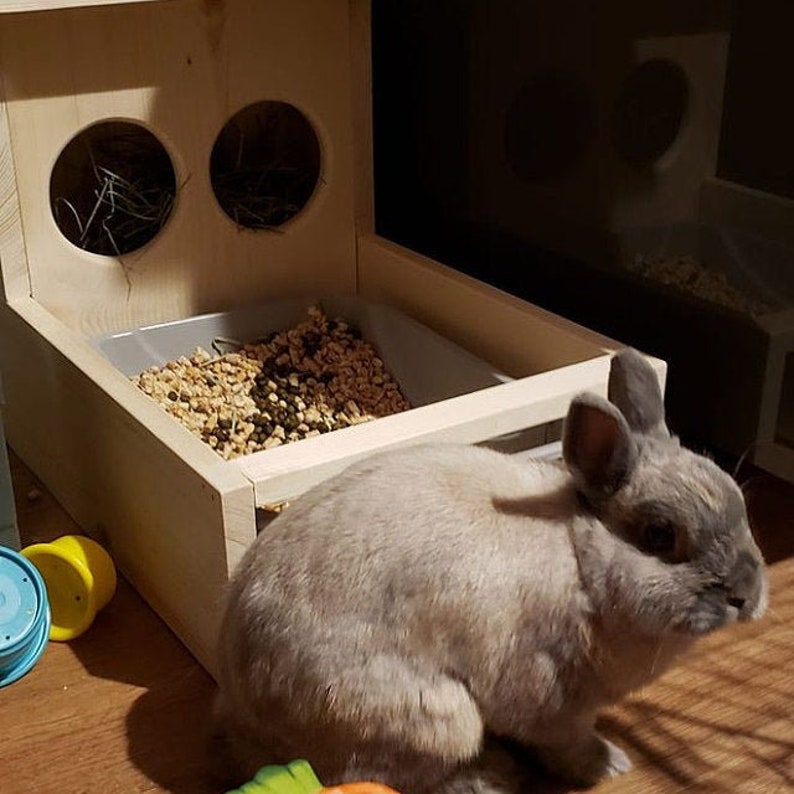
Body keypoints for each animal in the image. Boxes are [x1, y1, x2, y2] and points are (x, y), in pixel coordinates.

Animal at [212, 348, 768, 792]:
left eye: (742, 505)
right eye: (659, 535)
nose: (746, 595)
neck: (582, 561)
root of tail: (243, 721)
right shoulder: (554, 705)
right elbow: (568, 745)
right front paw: (609, 764)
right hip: (436, 720)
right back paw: (490, 776)